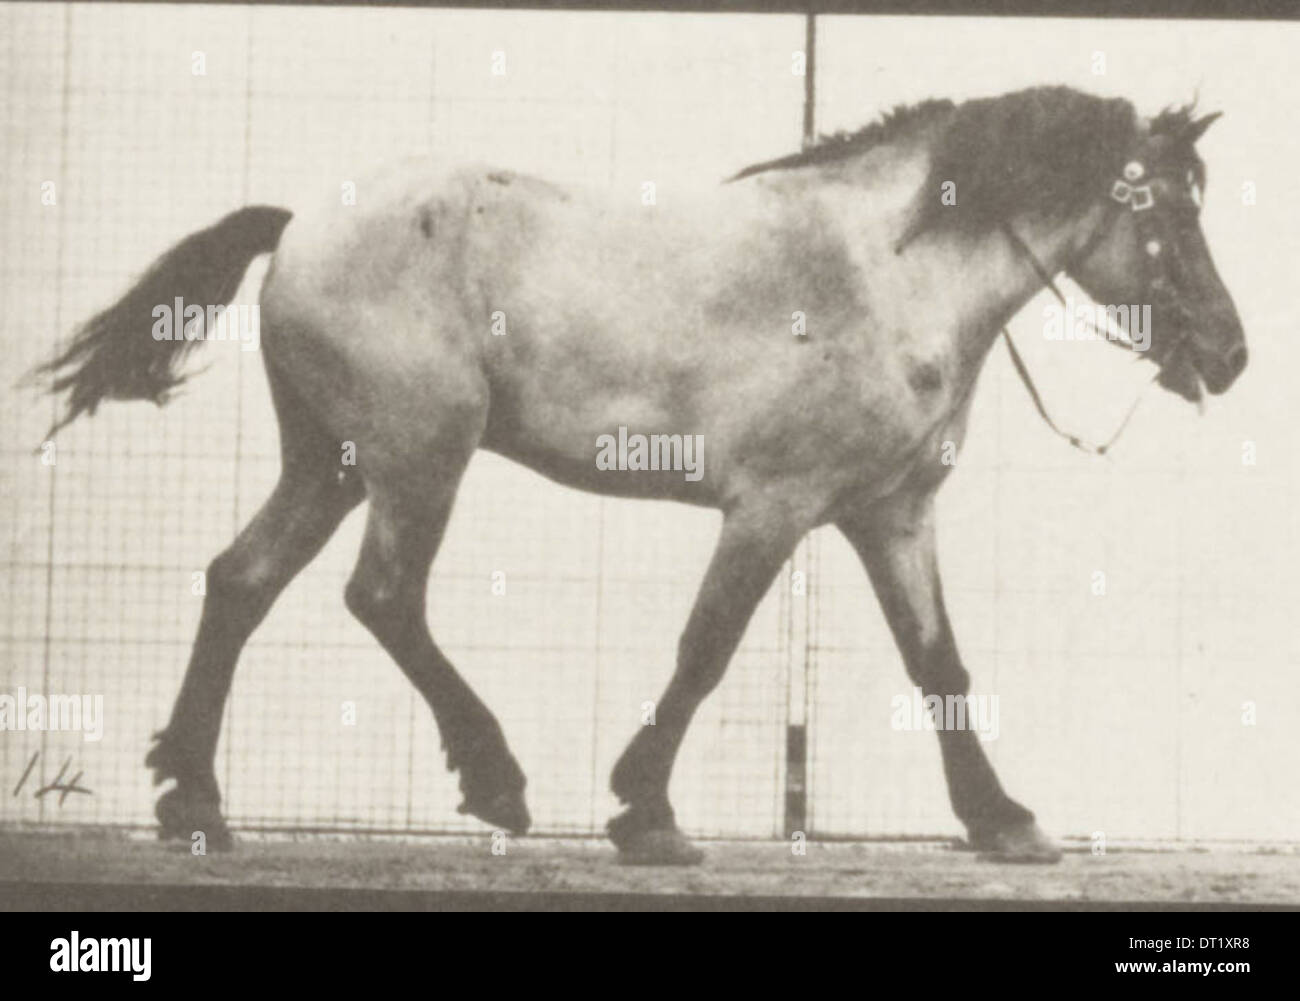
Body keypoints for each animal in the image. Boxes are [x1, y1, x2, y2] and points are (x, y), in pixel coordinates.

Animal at [34, 85, 1246, 865]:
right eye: (1167, 208)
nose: (1230, 354)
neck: (882, 273)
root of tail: (300, 228)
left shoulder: (892, 515)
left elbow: (938, 665)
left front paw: (1002, 820)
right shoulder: (772, 509)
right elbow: (705, 648)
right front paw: (646, 812)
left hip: (331, 465)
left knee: (241, 581)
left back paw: (195, 799)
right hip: (418, 459)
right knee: (381, 596)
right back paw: (495, 779)